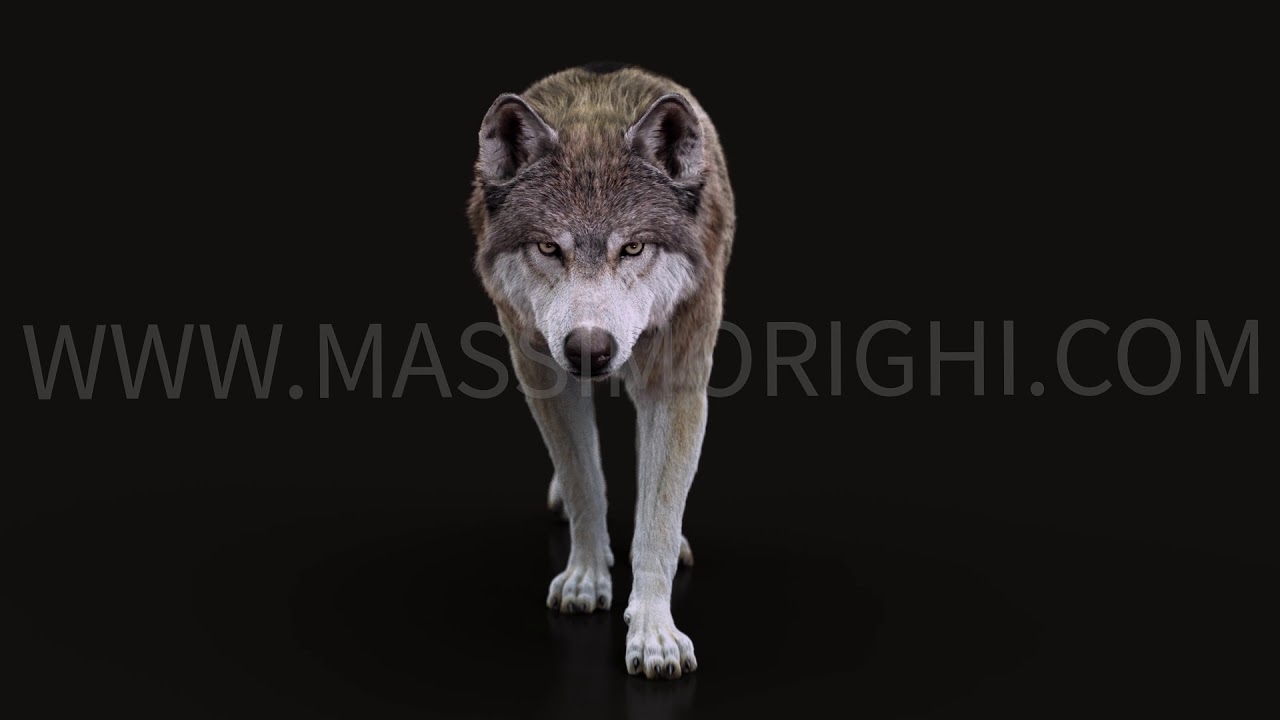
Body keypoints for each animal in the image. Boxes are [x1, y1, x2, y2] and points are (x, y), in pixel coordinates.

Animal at [468, 64, 734, 680]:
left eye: (632, 248)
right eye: (549, 247)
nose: (590, 350)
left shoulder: (676, 385)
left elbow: (657, 519)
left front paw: (655, 634)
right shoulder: (544, 376)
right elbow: (584, 481)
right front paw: (588, 577)